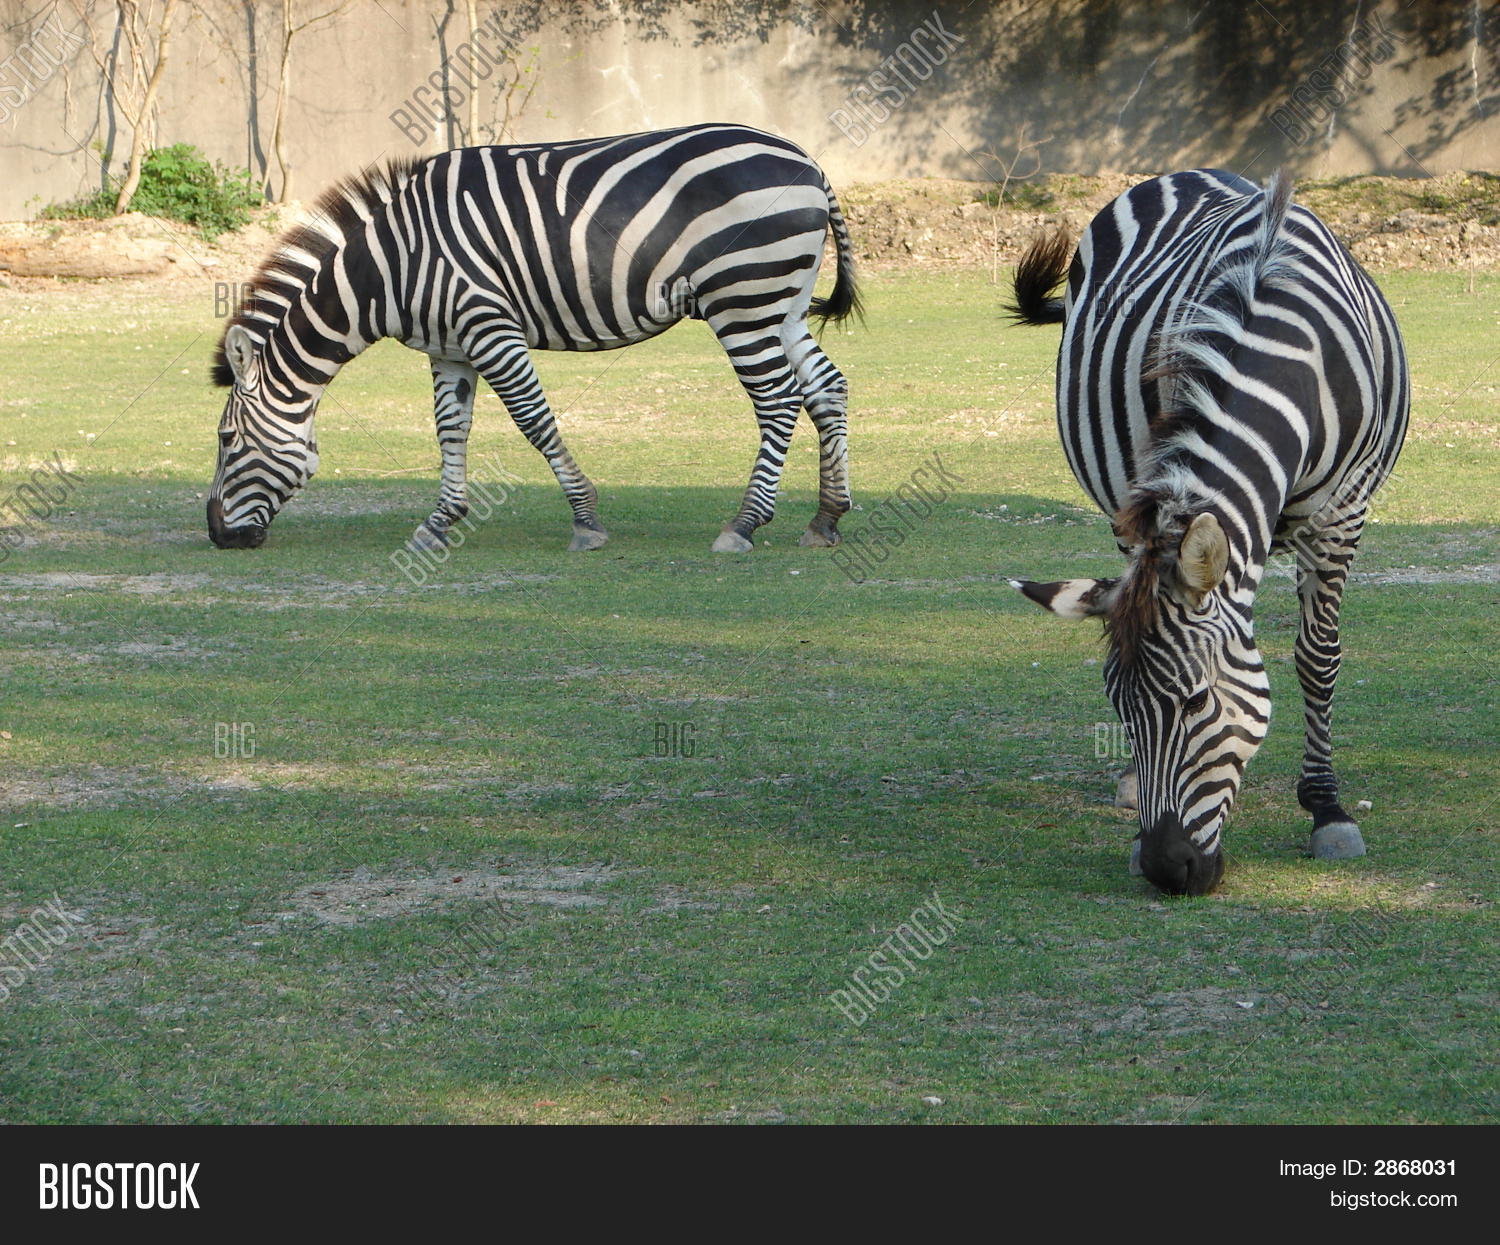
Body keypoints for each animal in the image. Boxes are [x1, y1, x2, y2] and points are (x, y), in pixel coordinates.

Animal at [206, 123, 861, 554]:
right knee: (826, 388)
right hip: (781, 303)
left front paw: (586, 520)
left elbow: (534, 421)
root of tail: (809, 162)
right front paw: (441, 521)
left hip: (742, 299)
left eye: (226, 439)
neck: (391, 267)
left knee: (777, 400)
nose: (216, 535)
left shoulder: (487, 325)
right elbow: (451, 428)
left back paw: (745, 523)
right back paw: (826, 518)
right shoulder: (449, 346)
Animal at [1006, 169, 1409, 896]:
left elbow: (1318, 656)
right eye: (1119, 708)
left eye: (1197, 701)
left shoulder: (1343, 512)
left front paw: (1328, 809)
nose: (1167, 870)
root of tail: (1181, 174)